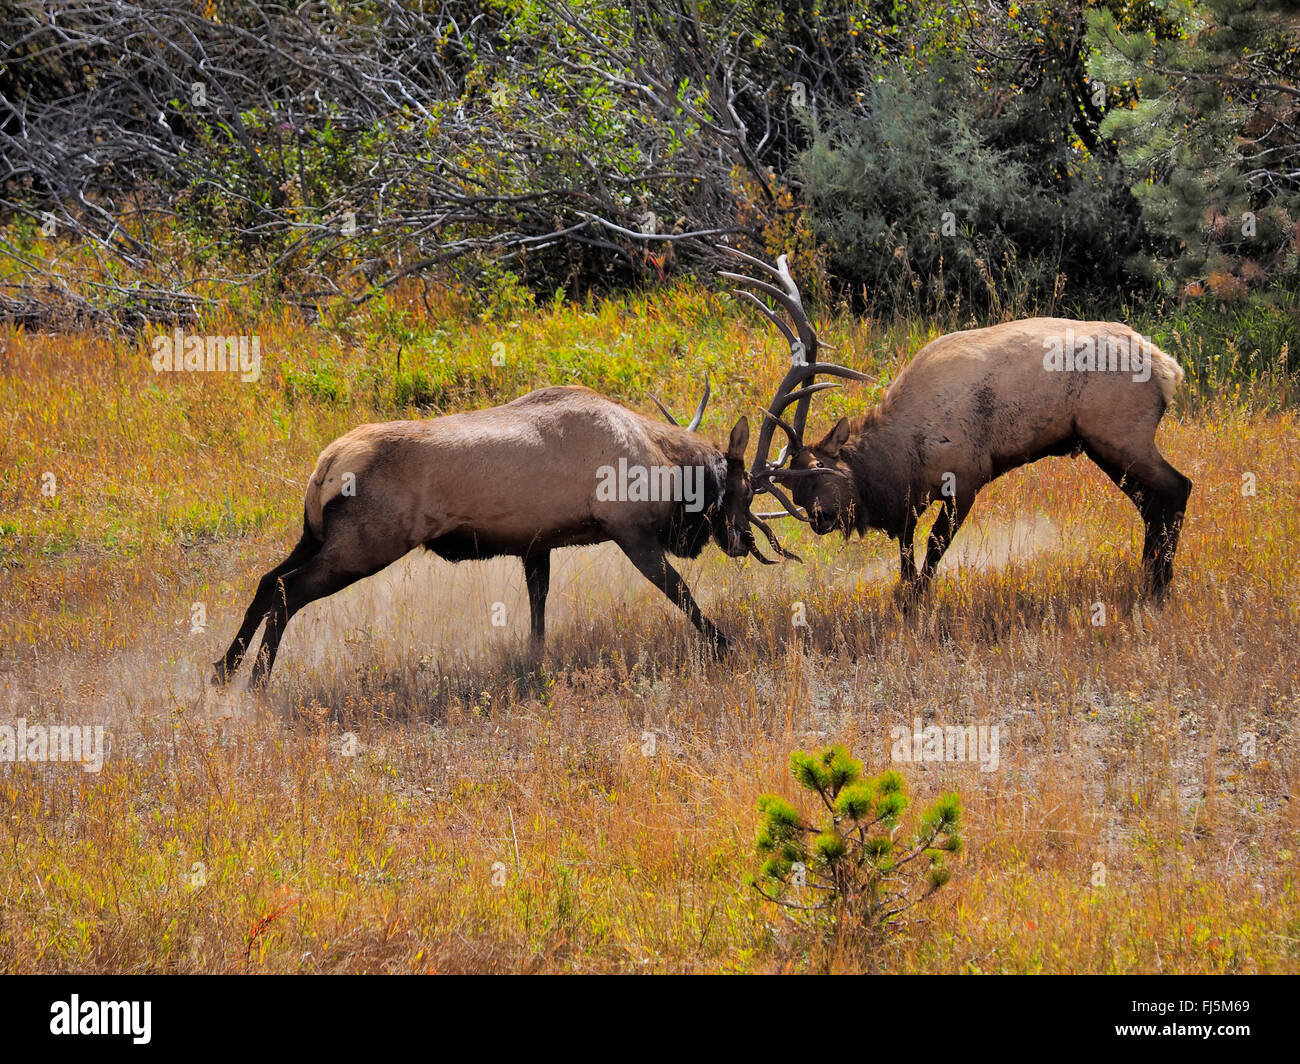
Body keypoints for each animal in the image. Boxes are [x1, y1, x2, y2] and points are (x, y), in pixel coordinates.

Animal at [212, 382, 799, 688]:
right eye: (744, 490)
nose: (743, 542)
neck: (665, 469)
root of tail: (325, 465)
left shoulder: (537, 543)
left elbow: (538, 607)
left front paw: (536, 664)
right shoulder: (630, 531)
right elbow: (681, 592)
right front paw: (724, 645)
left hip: (315, 535)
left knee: (265, 580)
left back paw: (224, 669)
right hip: (364, 545)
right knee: (287, 589)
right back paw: (257, 682)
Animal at [722, 247, 1192, 600]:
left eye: (819, 471)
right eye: (797, 494)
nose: (821, 518)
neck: (903, 457)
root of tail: (1169, 368)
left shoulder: (966, 478)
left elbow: (932, 549)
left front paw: (917, 602)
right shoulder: (910, 504)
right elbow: (906, 551)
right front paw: (904, 597)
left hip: (1119, 434)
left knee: (1177, 488)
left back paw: (1159, 583)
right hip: (1106, 445)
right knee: (1151, 505)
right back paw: (1148, 573)